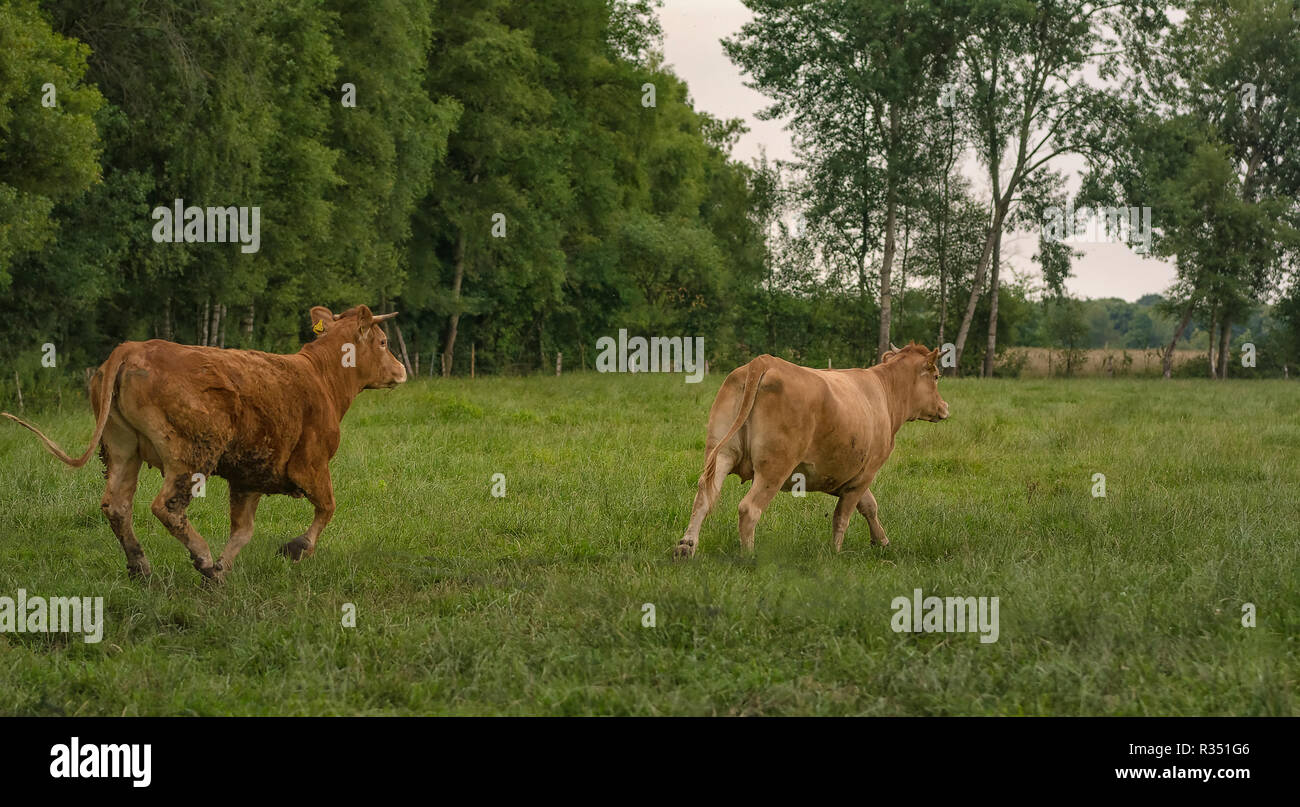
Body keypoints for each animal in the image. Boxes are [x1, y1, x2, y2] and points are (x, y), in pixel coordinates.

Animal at [2, 305, 407, 582]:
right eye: (384, 342)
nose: (402, 370)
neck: (321, 377)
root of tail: (132, 348)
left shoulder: (250, 474)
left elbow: (243, 530)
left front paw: (224, 570)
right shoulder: (311, 463)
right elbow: (327, 507)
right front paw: (296, 548)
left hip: (121, 448)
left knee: (116, 506)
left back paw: (142, 567)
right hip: (192, 455)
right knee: (165, 507)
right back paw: (201, 556)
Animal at [674, 342, 949, 558]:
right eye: (936, 376)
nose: (944, 406)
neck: (884, 391)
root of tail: (763, 361)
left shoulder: (851, 476)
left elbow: (869, 506)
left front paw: (881, 541)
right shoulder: (866, 472)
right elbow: (844, 516)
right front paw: (835, 553)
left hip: (721, 454)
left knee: (704, 495)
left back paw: (686, 547)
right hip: (774, 468)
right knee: (749, 508)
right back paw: (749, 556)